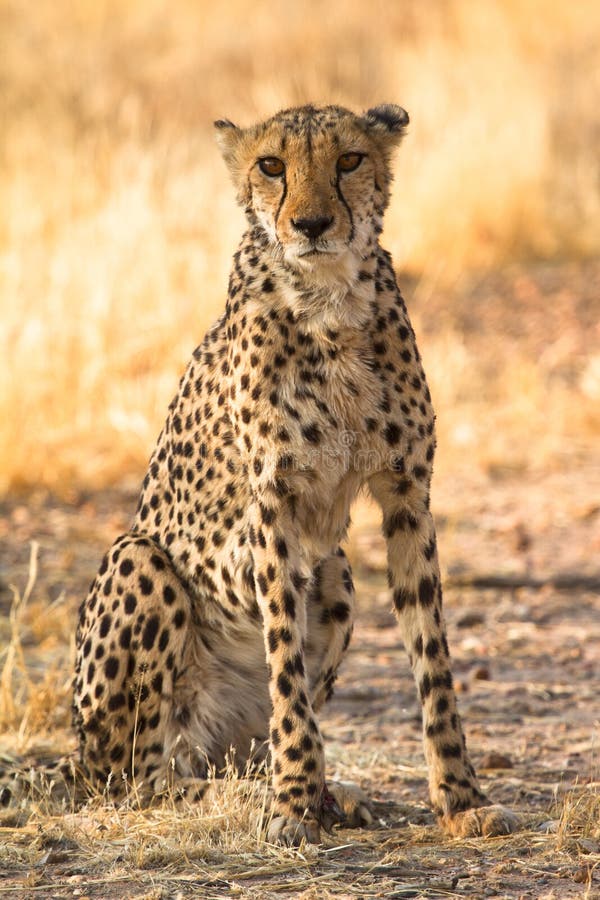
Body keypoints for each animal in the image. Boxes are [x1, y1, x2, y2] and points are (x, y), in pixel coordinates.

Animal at [11, 103, 520, 845]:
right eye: (271, 166)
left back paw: (331, 793)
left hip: (336, 576)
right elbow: (285, 662)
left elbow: (433, 662)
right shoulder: (272, 504)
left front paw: (460, 799)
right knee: (142, 781)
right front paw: (293, 803)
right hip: (141, 566)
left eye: (349, 160)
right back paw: (257, 795)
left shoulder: (408, 493)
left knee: (215, 757)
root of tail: (76, 753)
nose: (310, 224)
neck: (331, 301)